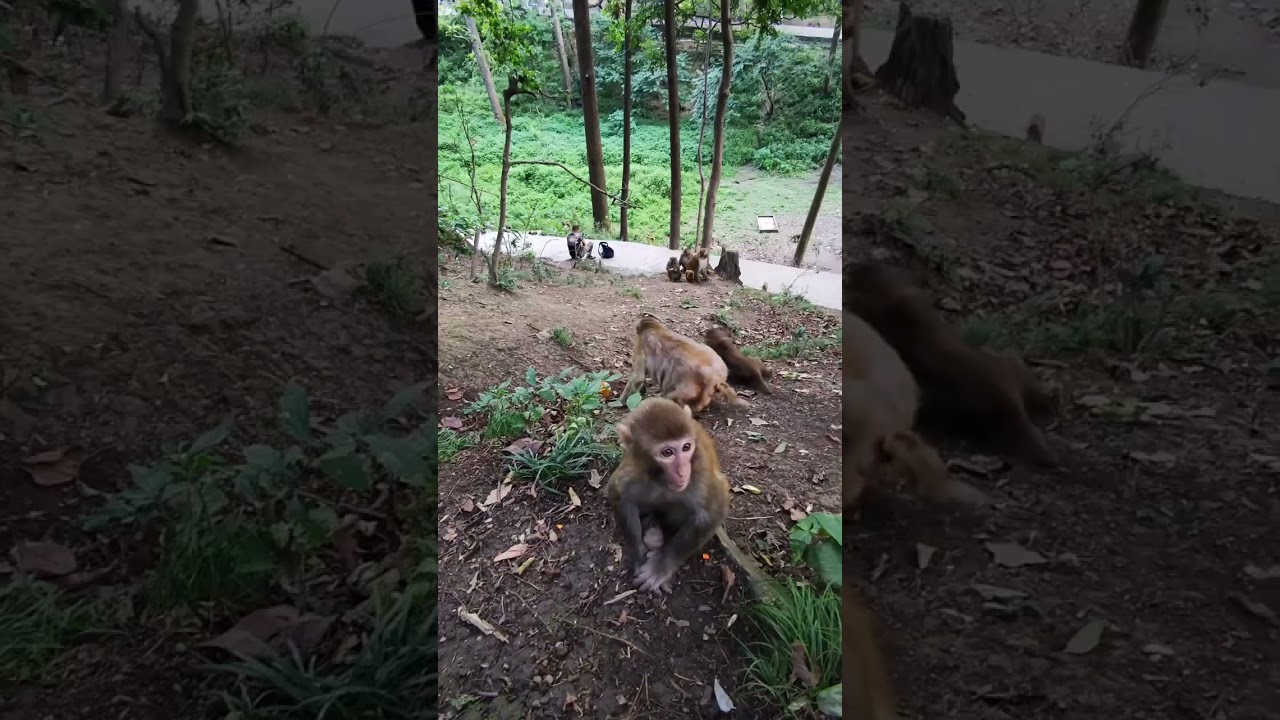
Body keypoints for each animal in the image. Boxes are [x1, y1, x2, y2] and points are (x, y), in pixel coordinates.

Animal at [606, 398, 730, 595]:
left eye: (686, 447)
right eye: (667, 453)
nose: (682, 472)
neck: (661, 478)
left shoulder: (701, 473)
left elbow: (714, 510)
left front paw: (660, 567)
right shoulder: (635, 469)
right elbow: (619, 494)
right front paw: (639, 556)